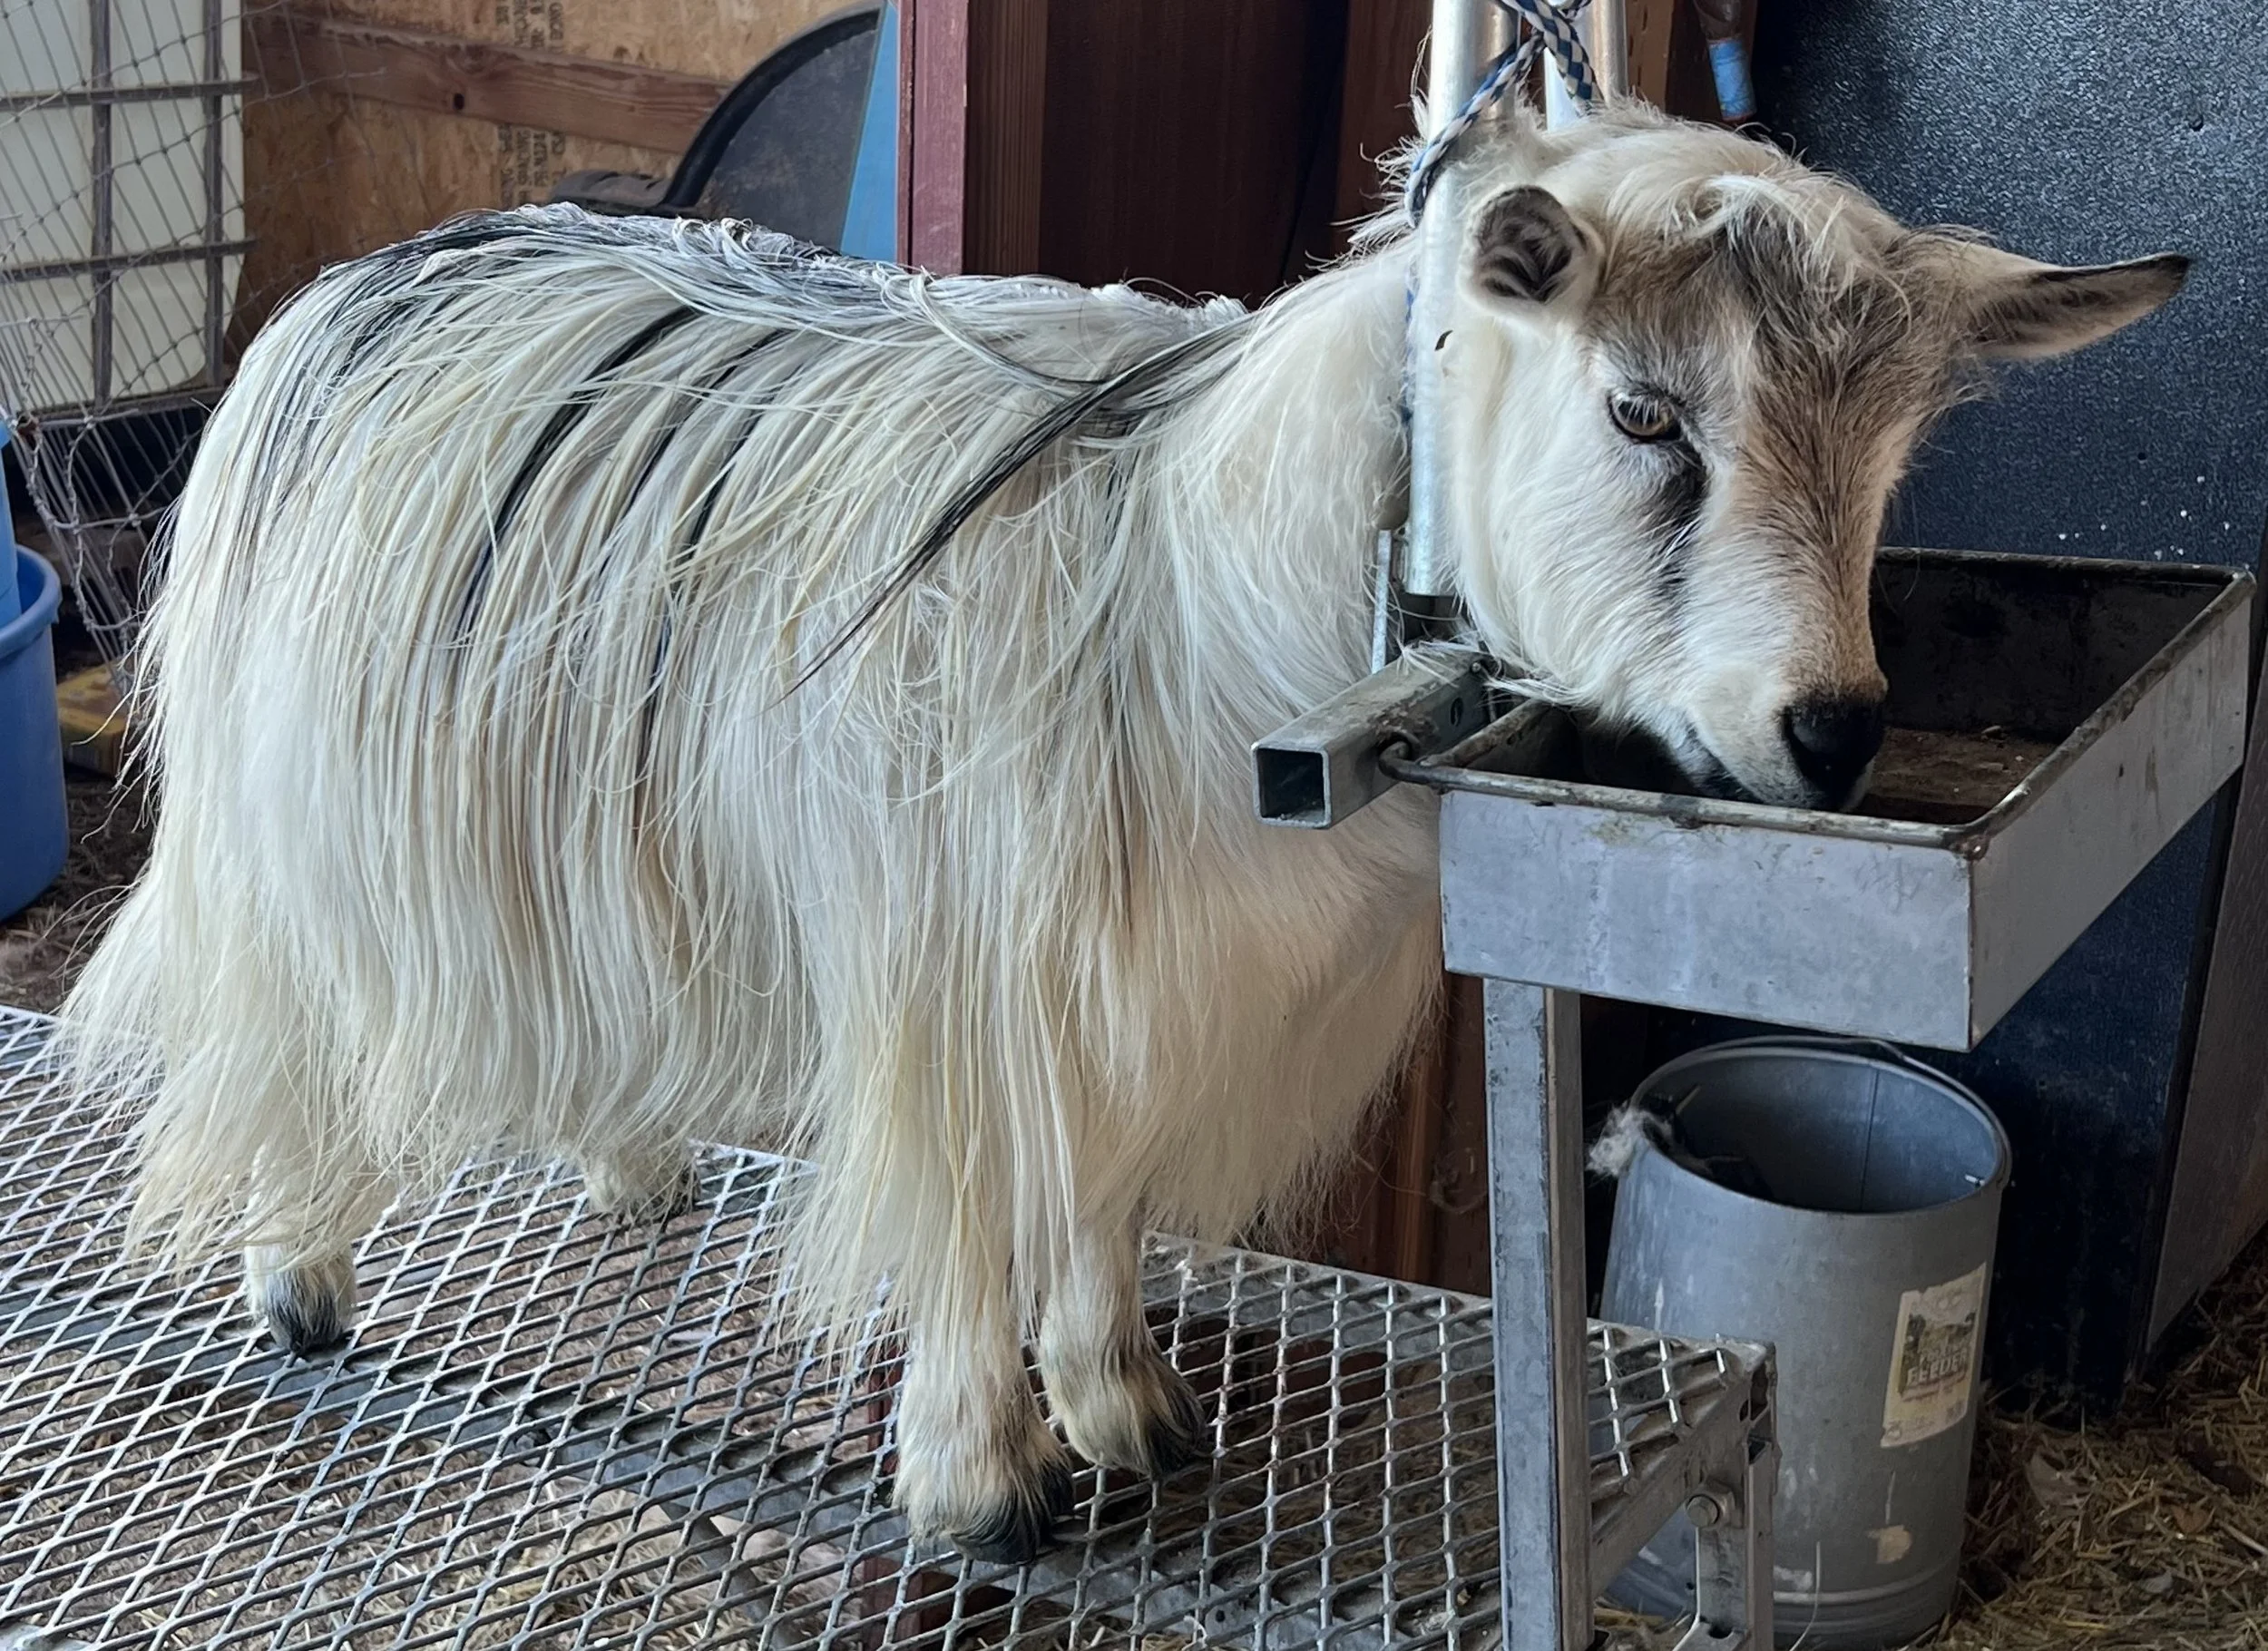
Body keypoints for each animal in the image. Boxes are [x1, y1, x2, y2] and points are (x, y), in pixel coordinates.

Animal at [60, 99, 2184, 1562]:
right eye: (1646, 415)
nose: (1827, 731)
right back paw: (296, 1276)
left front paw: (1127, 1412)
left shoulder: (1153, 993)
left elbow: (1096, 1197)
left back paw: (624, 1158)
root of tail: (358, 275)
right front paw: (981, 1479)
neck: (1201, 595)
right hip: (299, 815)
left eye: (1897, 452)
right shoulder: (955, 979)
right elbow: (968, 1218)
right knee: (290, 1026)